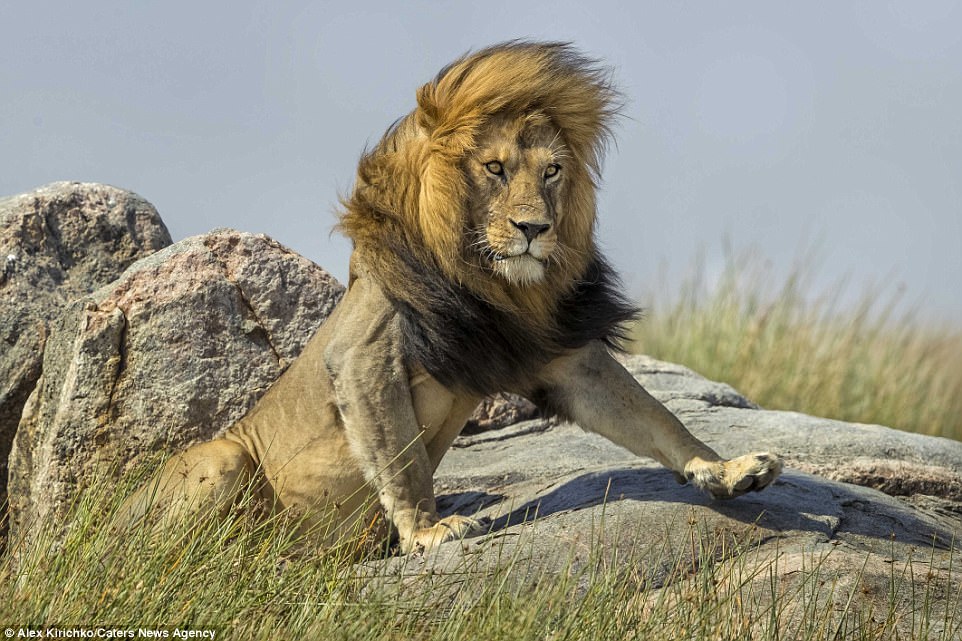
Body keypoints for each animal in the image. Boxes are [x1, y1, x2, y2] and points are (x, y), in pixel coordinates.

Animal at [116, 41, 782, 554]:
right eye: (494, 168)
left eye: (552, 171)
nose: (534, 228)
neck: (491, 284)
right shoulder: (364, 353)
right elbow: (400, 456)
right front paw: (427, 531)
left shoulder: (552, 354)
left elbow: (654, 415)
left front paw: (726, 469)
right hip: (222, 461)